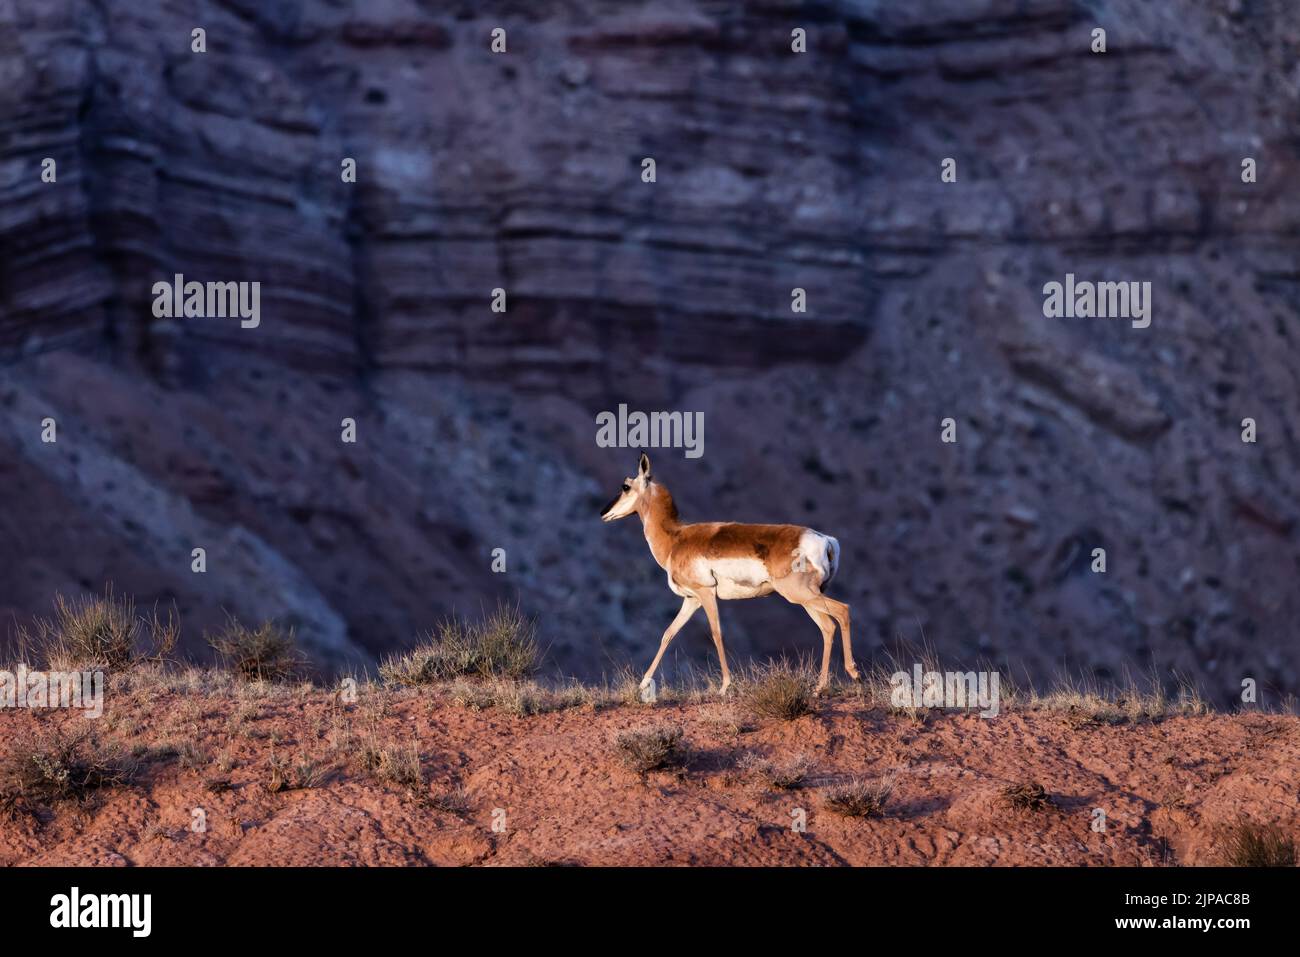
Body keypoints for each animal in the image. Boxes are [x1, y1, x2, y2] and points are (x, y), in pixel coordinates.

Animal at [601, 453, 859, 696]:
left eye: (625, 486)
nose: (603, 512)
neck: (676, 538)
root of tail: (825, 539)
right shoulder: (691, 600)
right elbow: (668, 633)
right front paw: (643, 683)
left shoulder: (706, 594)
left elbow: (716, 633)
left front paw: (724, 686)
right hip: (807, 600)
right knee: (827, 627)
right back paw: (820, 687)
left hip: (801, 595)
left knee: (842, 611)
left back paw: (852, 673)